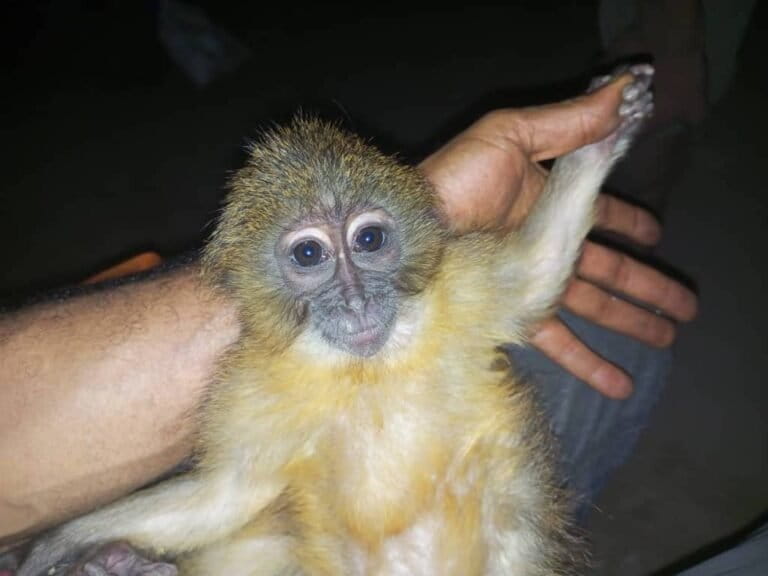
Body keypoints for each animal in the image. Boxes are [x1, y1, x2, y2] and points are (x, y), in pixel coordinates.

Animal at [17, 63, 654, 576]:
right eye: (308, 254)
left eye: (368, 240)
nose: (355, 302)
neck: (365, 372)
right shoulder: (251, 388)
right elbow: (222, 495)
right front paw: (57, 544)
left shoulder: (456, 289)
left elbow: (533, 272)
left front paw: (600, 138)